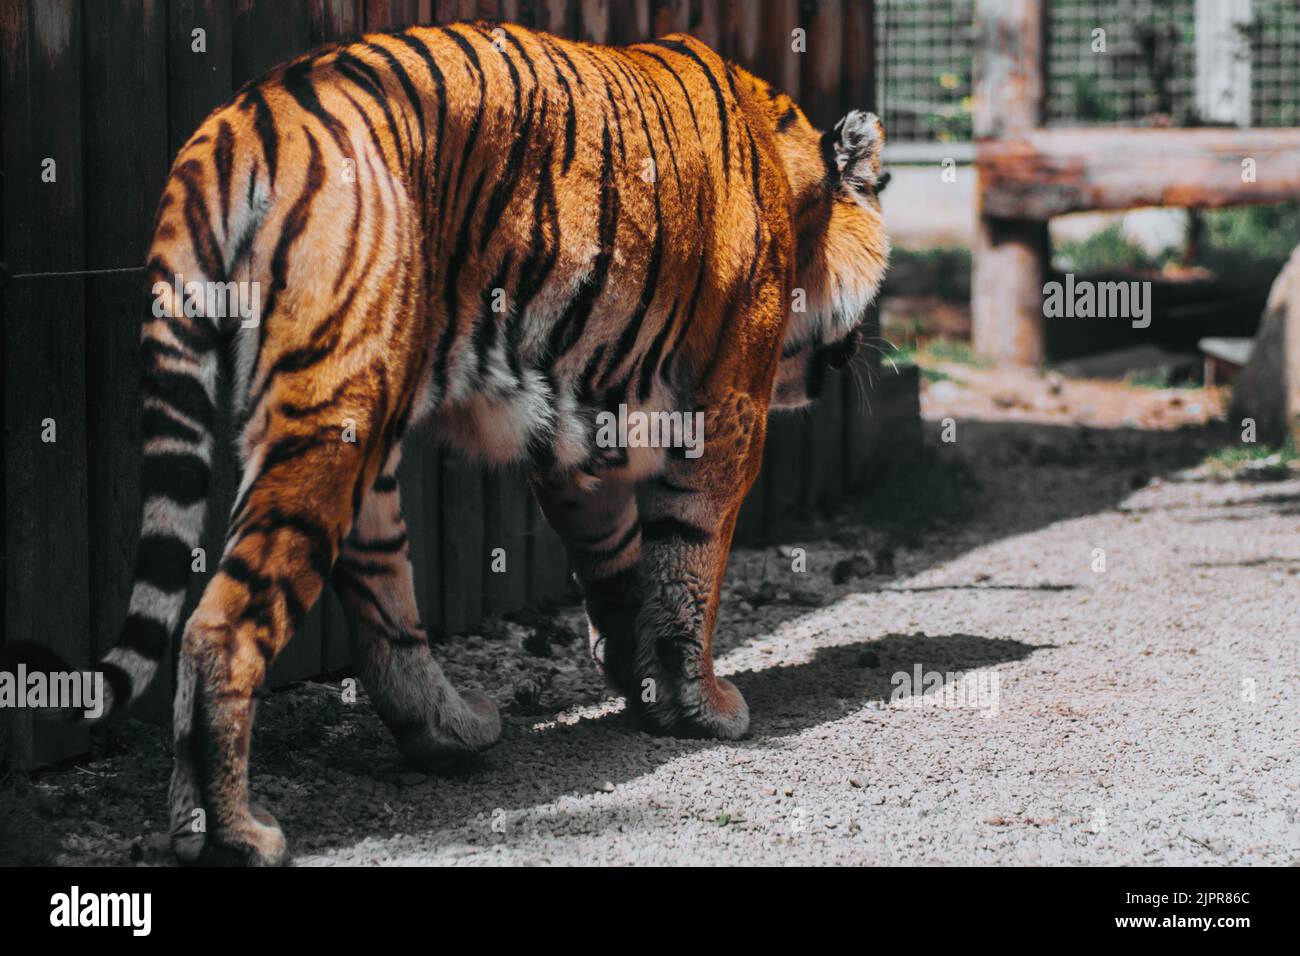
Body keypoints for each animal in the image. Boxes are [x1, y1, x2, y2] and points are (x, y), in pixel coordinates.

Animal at [8, 21, 888, 864]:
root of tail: (235, 124)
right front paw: (704, 705)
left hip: (361, 433)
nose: (865, 348)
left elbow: (620, 566)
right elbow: (689, 566)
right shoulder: (727, 411)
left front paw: (641, 686)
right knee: (221, 627)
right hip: (328, 411)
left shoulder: (581, 441)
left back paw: (450, 736)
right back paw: (234, 833)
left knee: (384, 606)